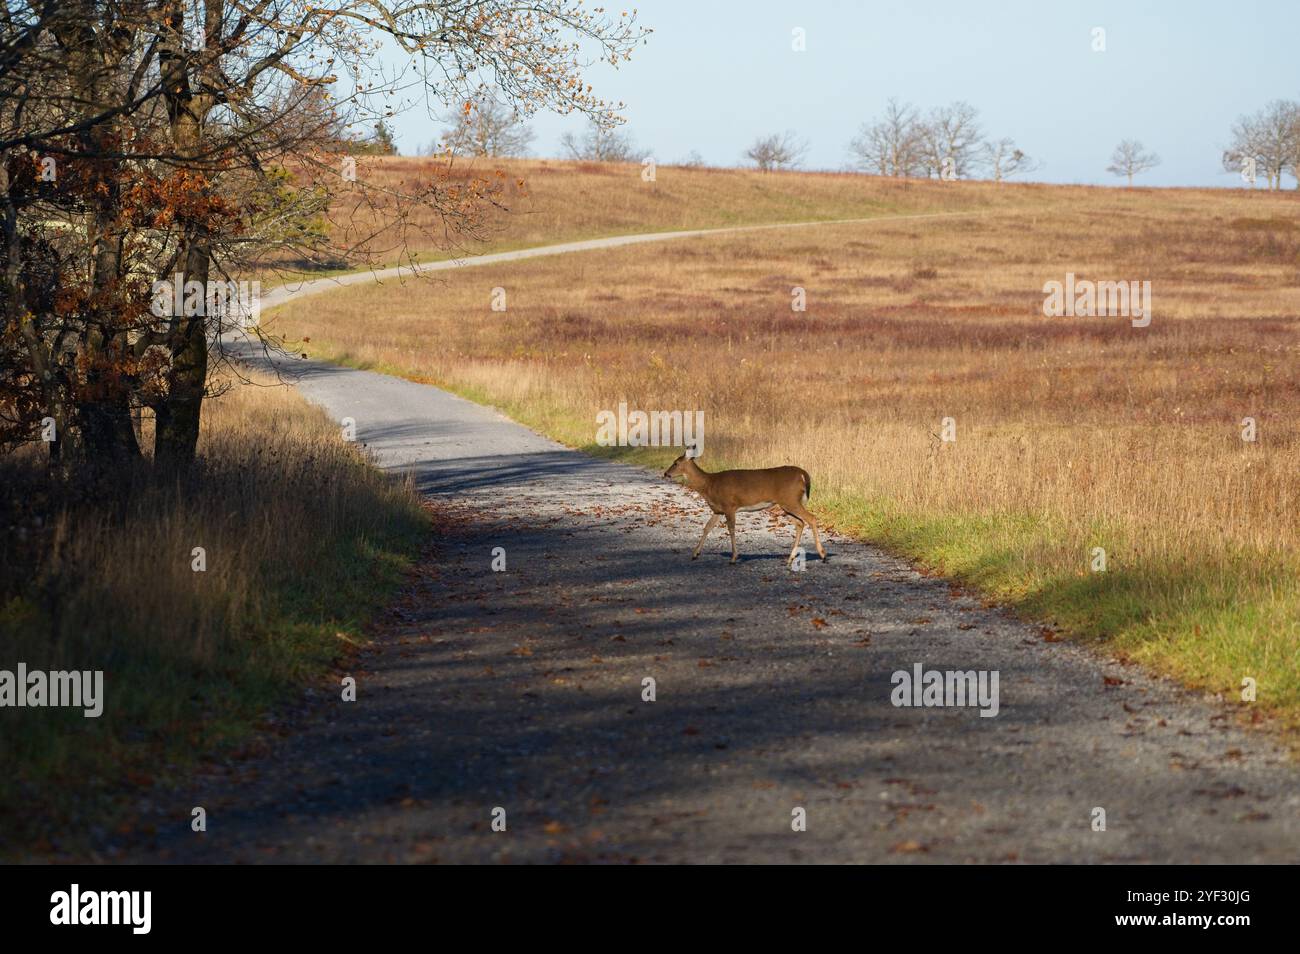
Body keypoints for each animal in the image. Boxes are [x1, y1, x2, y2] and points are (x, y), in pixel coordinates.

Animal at [663, 452, 827, 566]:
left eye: (676, 463)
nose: (666, 473)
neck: (709, 484)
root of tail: (803, 475)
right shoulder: (718, 510)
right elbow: (707, 527)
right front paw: (695, 554)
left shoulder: (729, 505)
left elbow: (731, 529)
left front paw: (733, 558)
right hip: (785, 504)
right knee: (800, 523)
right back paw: (790, 558)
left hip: (790, 500)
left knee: (811, 518)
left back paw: (822, 554)